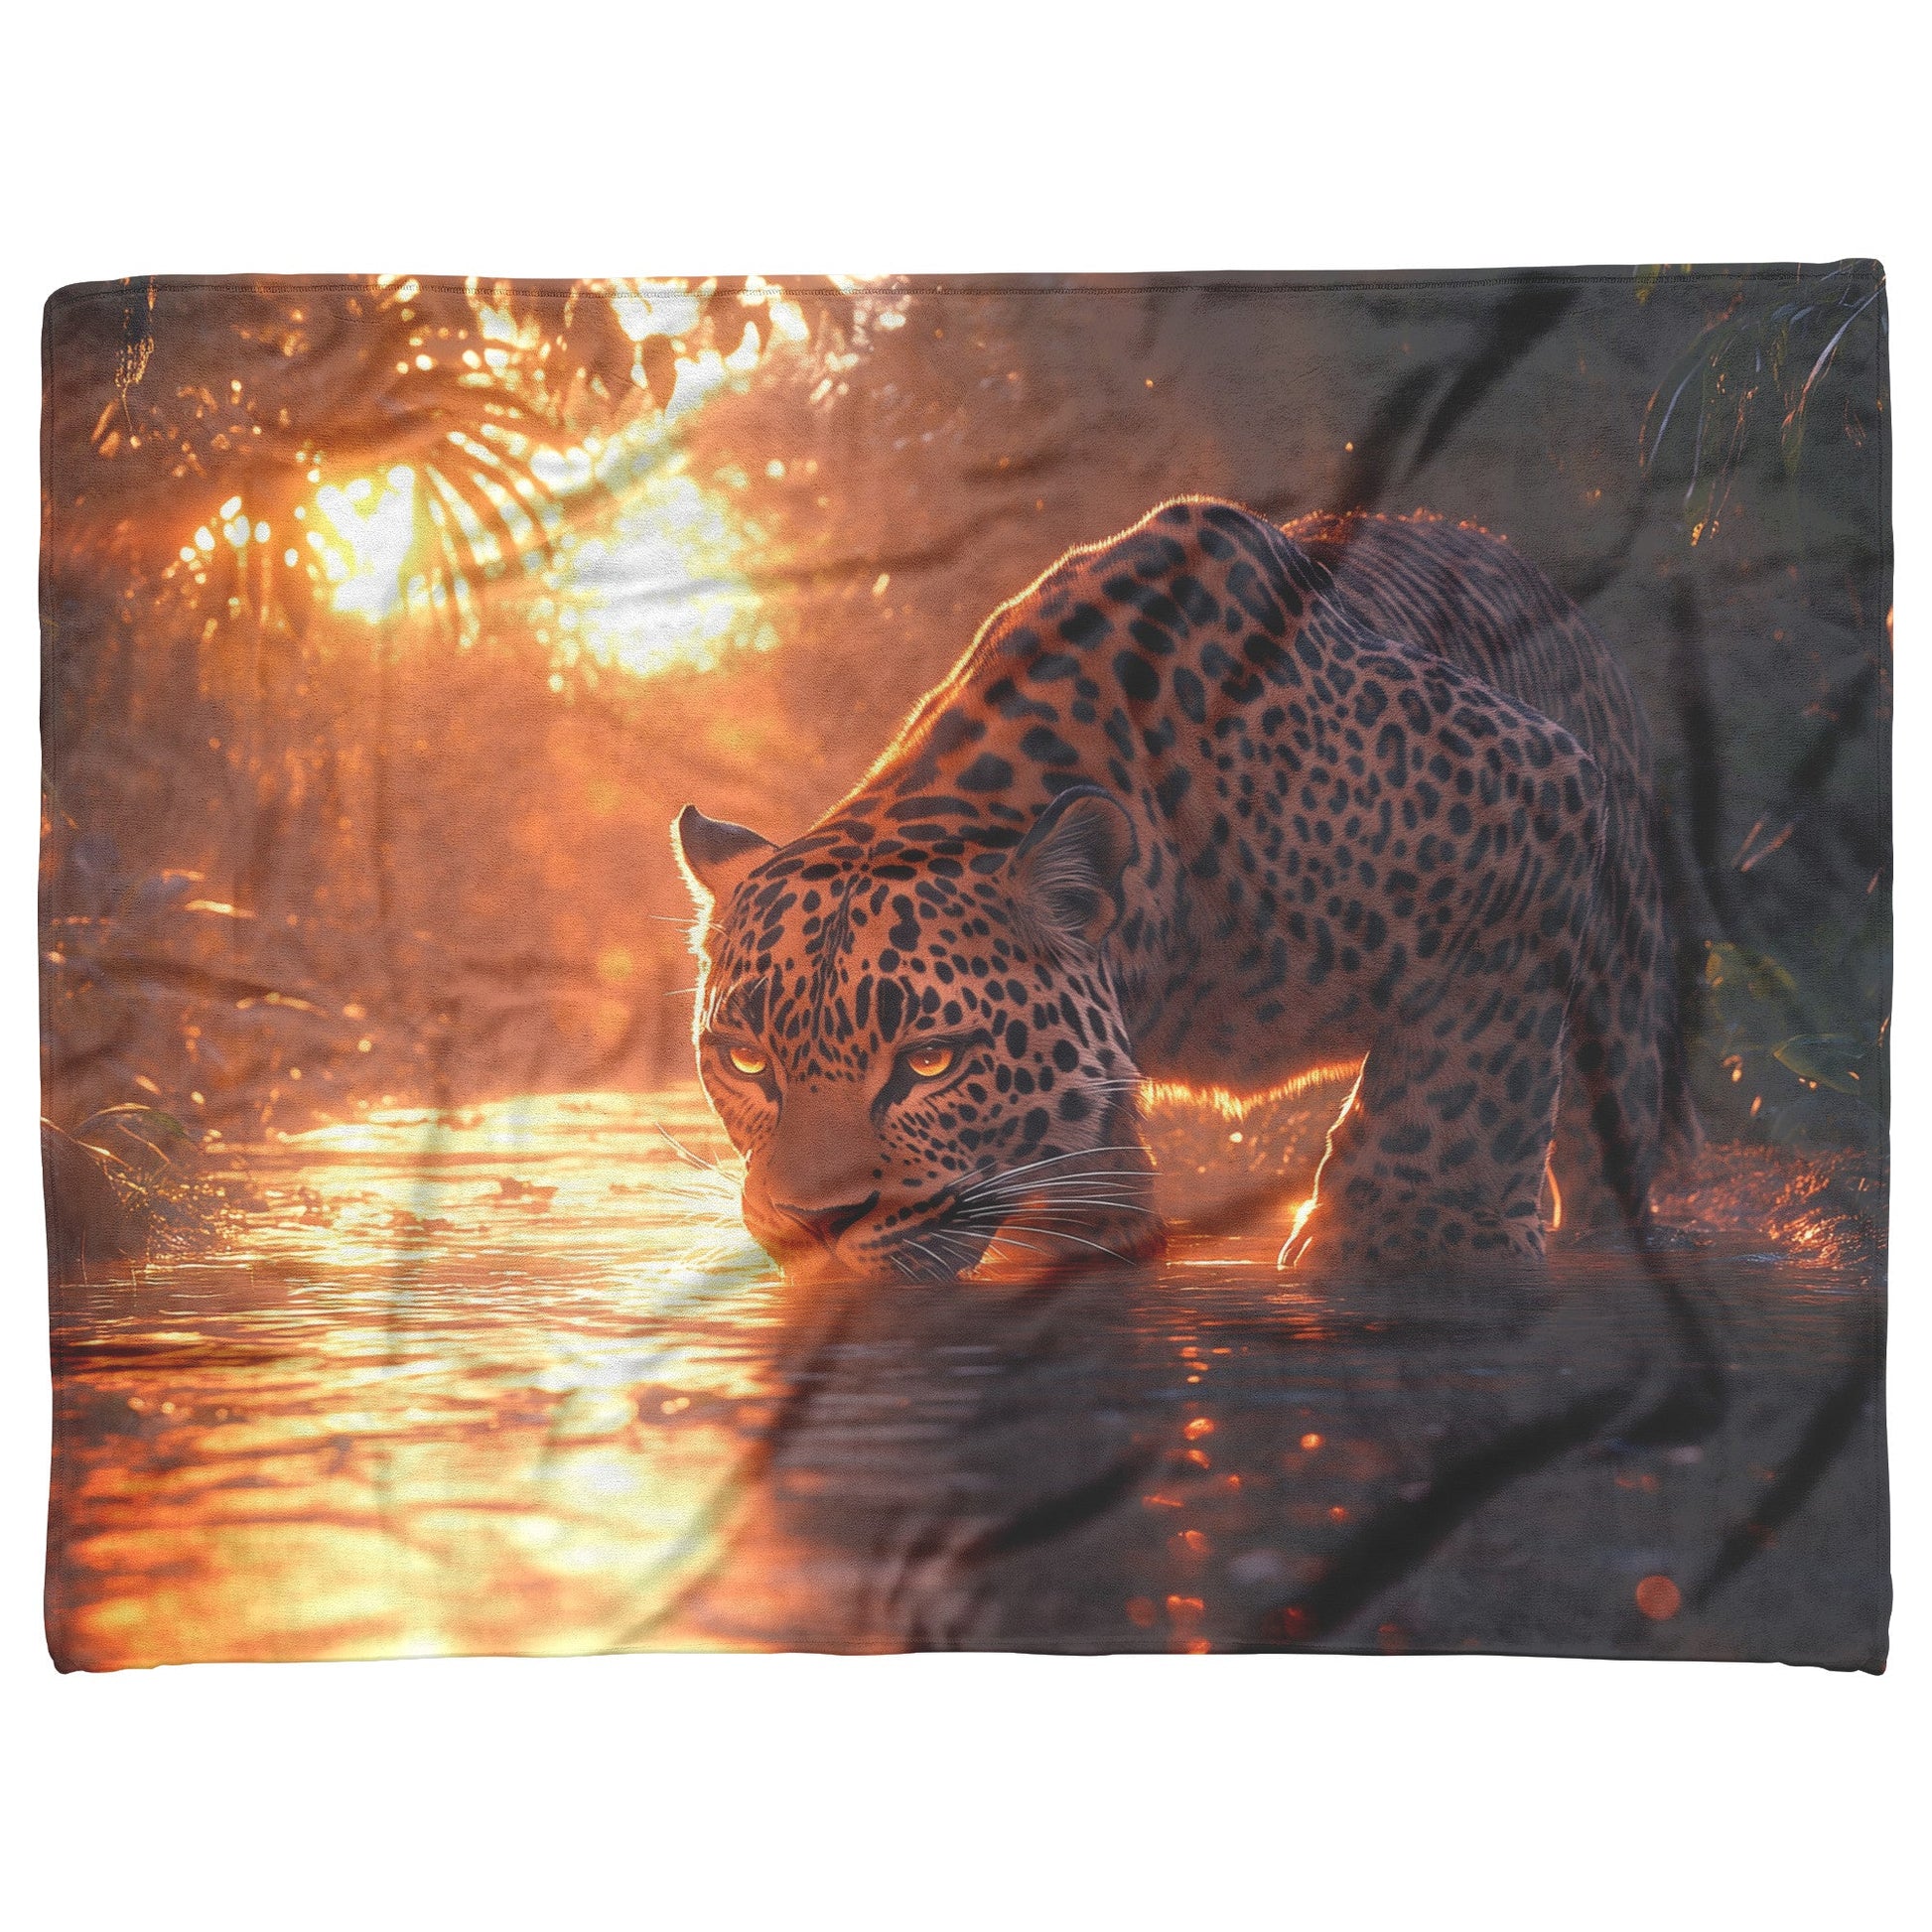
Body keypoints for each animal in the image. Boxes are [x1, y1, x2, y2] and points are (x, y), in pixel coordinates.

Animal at [672, 498, 1694, 1283]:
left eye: (929, 1063)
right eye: (747, 1061)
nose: (813, 1225)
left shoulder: (1528, 792)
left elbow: (1462, 1075)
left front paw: (1405, 1236)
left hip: (1626, 943)